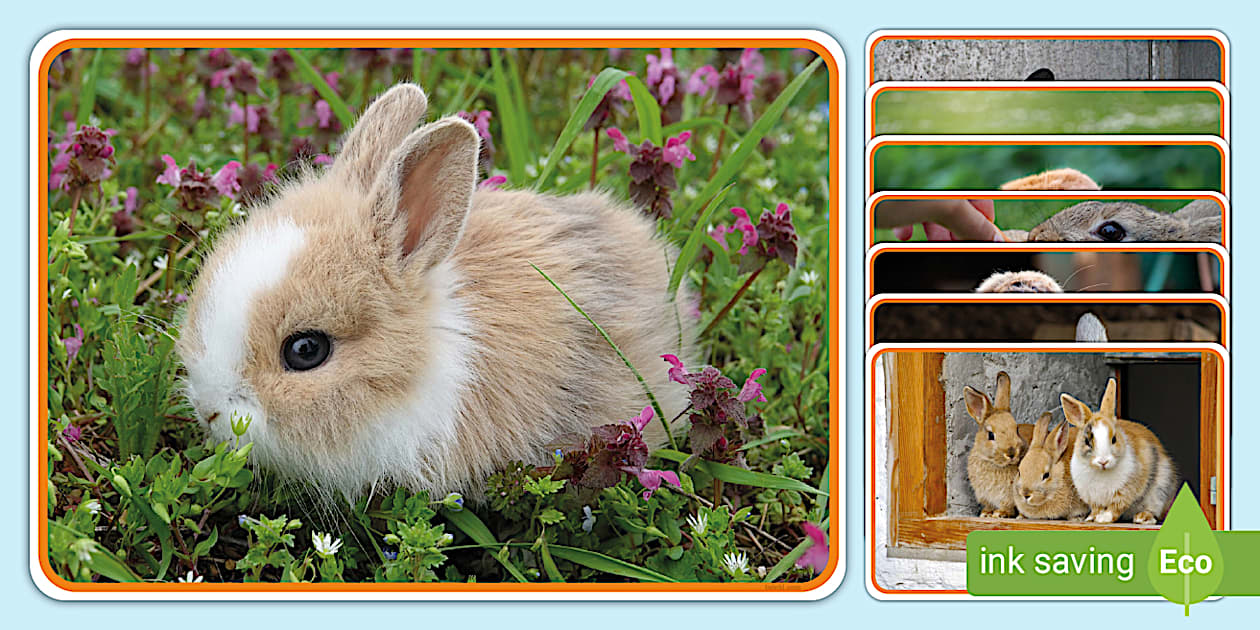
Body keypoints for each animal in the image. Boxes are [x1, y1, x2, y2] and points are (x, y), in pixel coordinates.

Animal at [964, 372, 1036, 518]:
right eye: (991, 435)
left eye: (1016, 430)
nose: (1011, 453)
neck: (994, 464)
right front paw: (986, 513)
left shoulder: (1008, 497)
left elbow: (1007, 506)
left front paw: (1000, 513)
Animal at [1060, 378, 1178, 524]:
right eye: (1087, 441)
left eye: (1114, 439)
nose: (1103, 461)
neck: (1102, 472)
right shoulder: (1093, 498)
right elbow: (1096, 508)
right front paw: (1091, 518)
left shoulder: (1125, 492)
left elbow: (1115, 507)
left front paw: (1103, 519)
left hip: (1160, 493)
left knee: (1154, 512)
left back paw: (1142, 518)